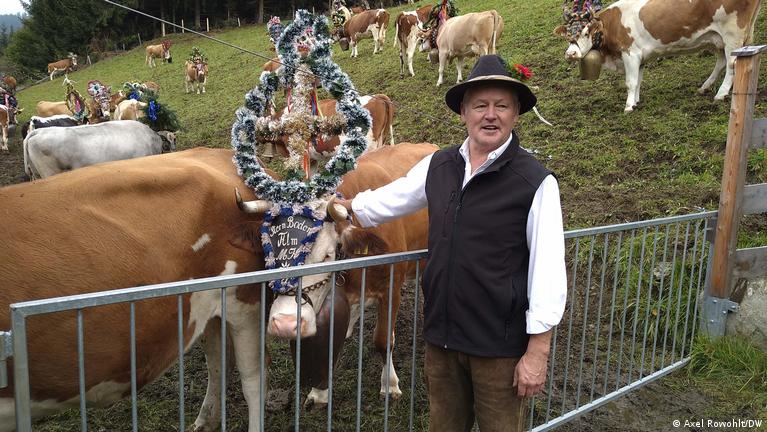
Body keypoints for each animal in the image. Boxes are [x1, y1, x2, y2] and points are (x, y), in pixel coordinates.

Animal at [0, 147, 273, 431]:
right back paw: (203, 422)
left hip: (244, 300)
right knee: (218, 362)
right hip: (206, 307)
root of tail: (220, 153)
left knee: (253, 377)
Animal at [235, 142, 435, 408]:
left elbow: (383, 341)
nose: (286, 324)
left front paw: (389, 385)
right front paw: (319, 392)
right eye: (271, 256)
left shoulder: (391, 286)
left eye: (326, 257)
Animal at [554, 0, 764, 112]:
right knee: (722, 62)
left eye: (586, 32)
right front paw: (636, 101)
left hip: (733, 33)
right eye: (567, 36)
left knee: (731, 64)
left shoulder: (630, 53)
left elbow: (631, 82)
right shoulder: (640, 58)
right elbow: (638, 80)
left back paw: (721, 93)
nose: (570, 54)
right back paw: (705, 87)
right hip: (717, 37)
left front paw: (628, 106)